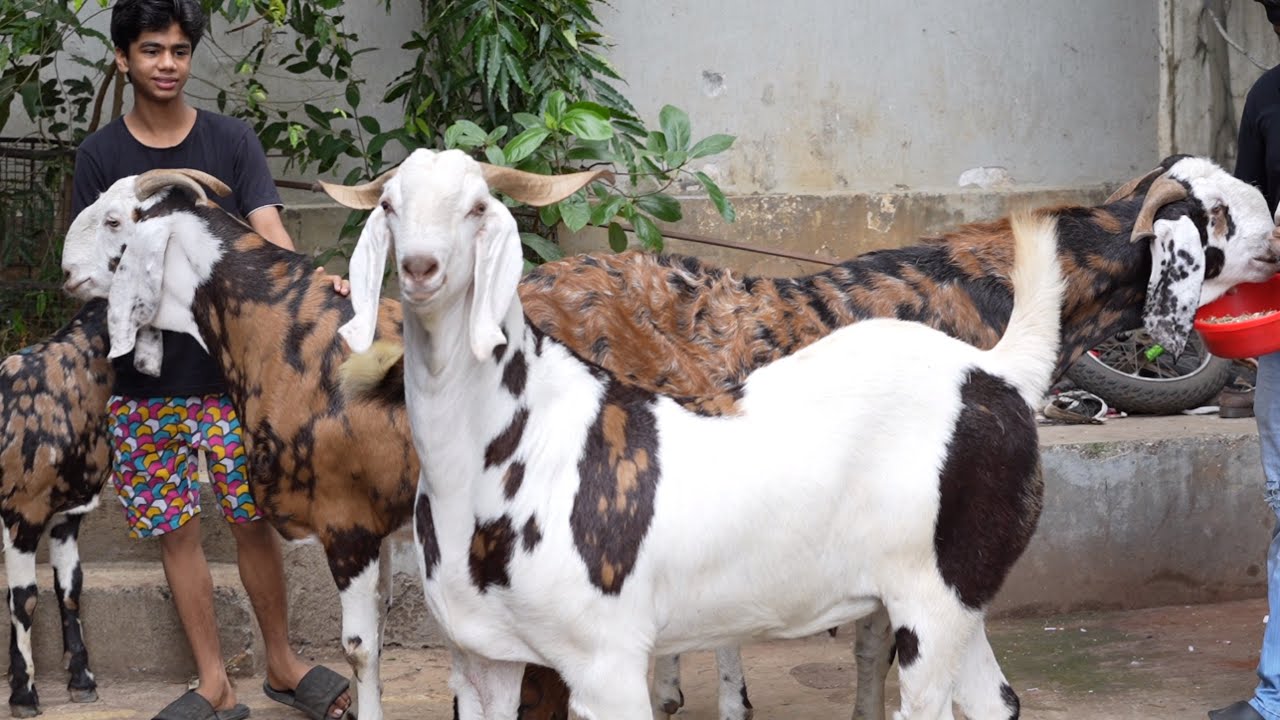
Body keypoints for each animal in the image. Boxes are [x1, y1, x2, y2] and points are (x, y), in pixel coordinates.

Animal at [0, 300, 111, 718]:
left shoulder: (68, 515)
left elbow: (70, 587)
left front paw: (81, 679)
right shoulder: (22, 513)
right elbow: (25, 597)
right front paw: (23, 694)